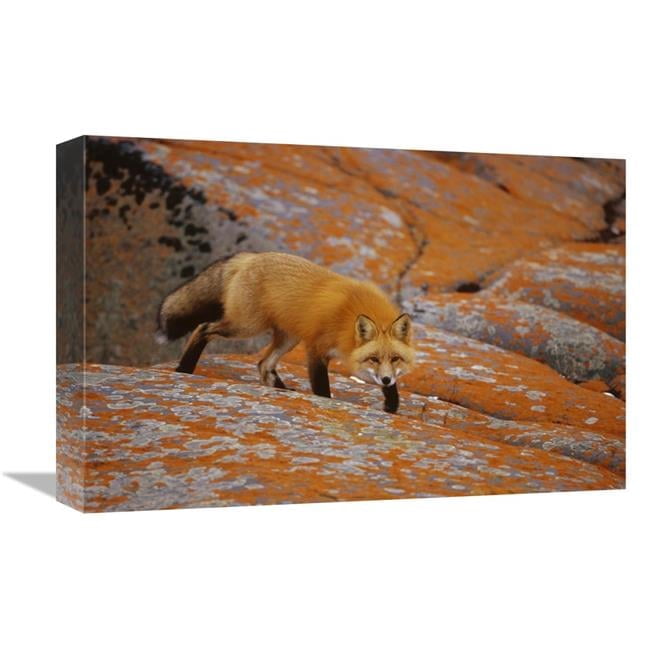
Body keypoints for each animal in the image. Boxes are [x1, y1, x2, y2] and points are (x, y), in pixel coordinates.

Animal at [156, 252, 416, 413]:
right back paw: (184, 368)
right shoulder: (316, 348)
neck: (348, 320)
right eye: (373, 359)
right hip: (246, 326)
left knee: (264, 364)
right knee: (203, 329)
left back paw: (282, 390)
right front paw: (325, 402)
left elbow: (393, 389)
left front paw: (391, 406)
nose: (385, 378)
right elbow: (322, 387)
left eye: (395, 358)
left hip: (288, 338)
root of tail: (251, 257)